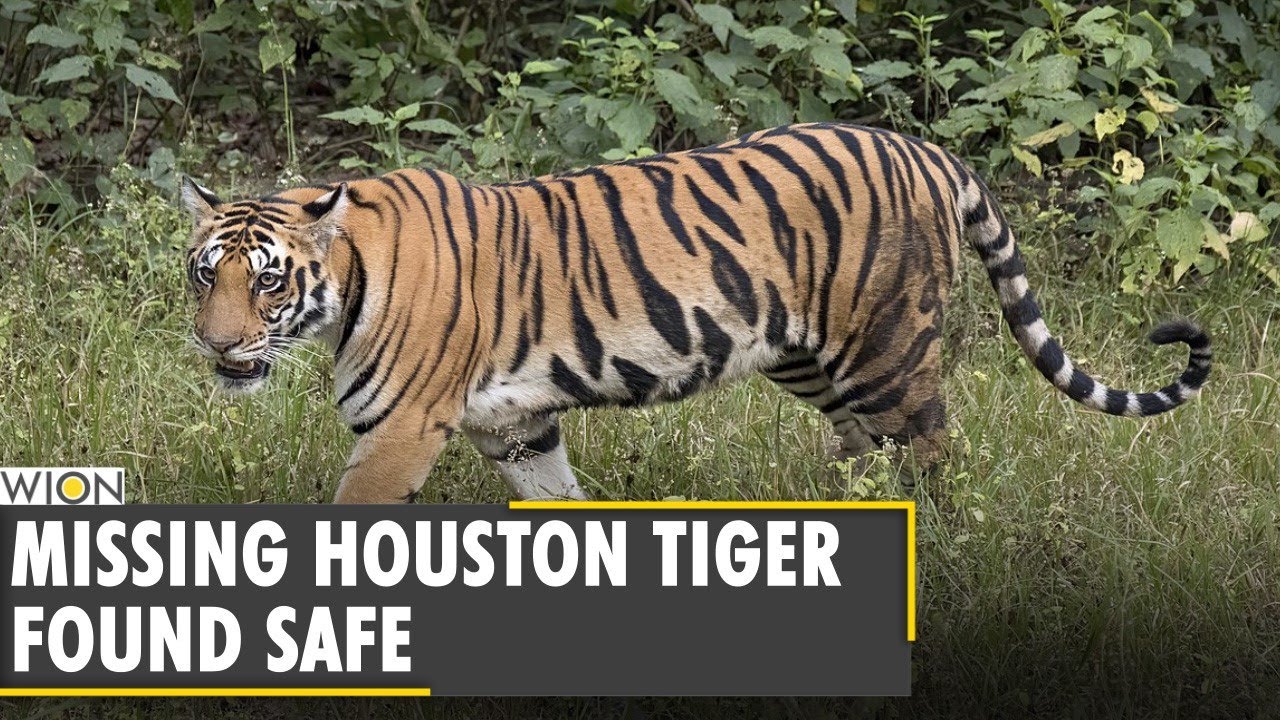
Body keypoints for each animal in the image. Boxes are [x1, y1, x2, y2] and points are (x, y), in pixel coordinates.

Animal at [181, 122, 1211, 503]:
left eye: (266, 282)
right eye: (204, 277)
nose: (218, 345)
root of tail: (925, 148)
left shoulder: (400, 431)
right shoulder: (516, 426)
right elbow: (559, 505)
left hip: (887, 351)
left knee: (931, 455)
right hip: (812, 359)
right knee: (863, 450)